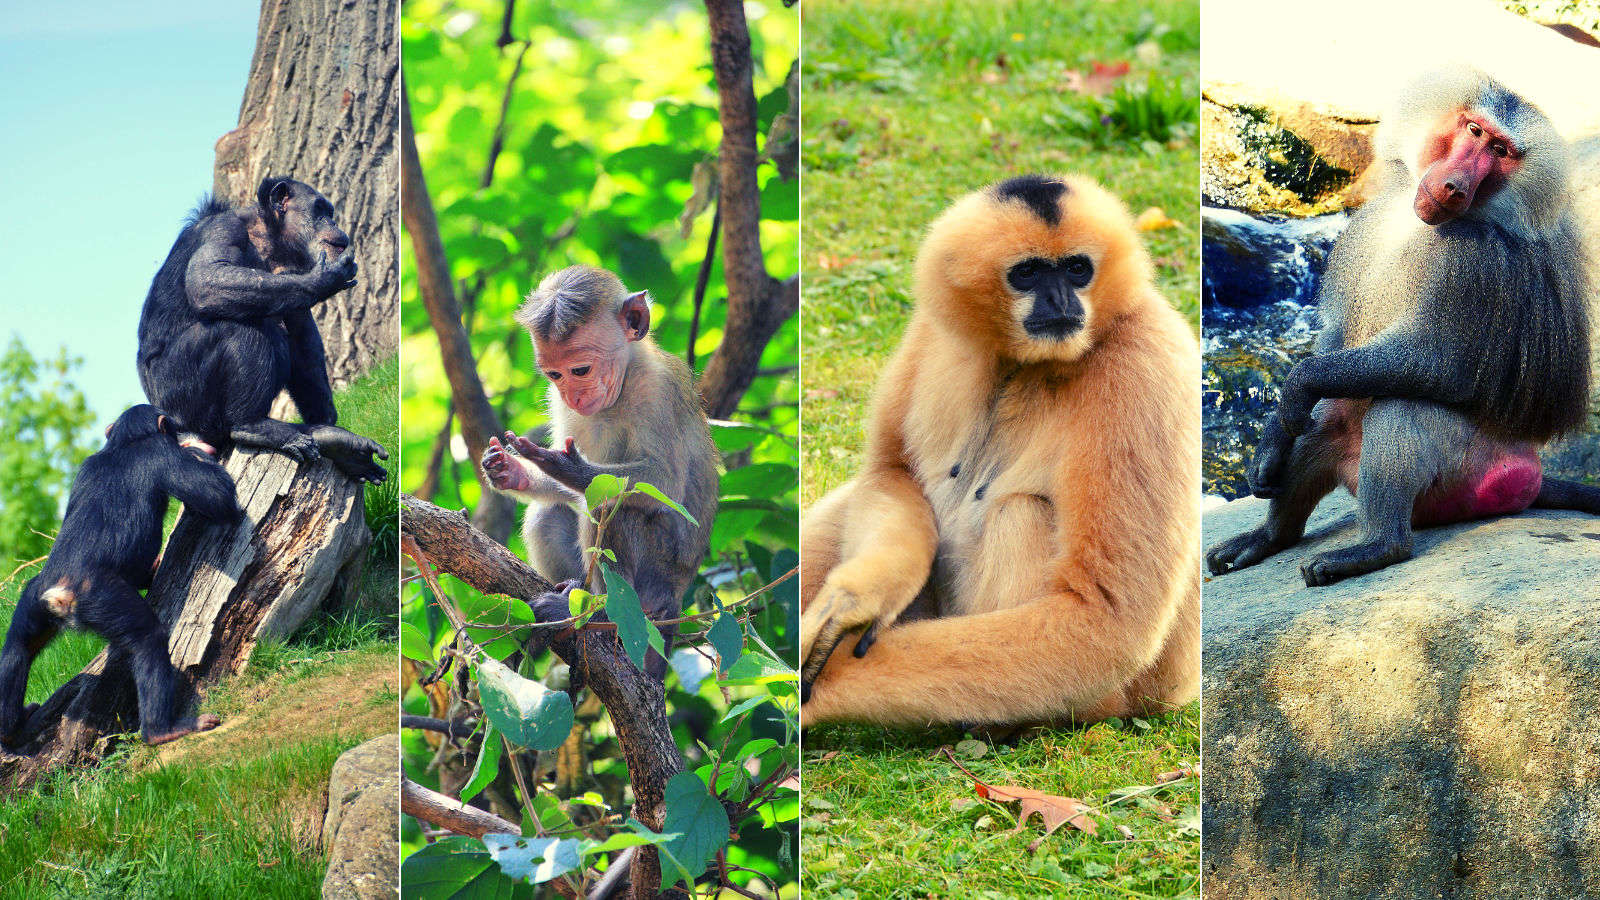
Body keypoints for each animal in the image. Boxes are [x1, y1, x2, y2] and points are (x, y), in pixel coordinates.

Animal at [0, 405, 243, 749]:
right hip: (103, 597)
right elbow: (217, 498)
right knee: (148, 638)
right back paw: (162, 729)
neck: (123, 444)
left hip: (32, 600)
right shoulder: (162, 453)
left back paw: (11, 729)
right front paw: (197, 449)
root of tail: (57, 594)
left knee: (18, 650)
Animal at [136, 176, 388, 484]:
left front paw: (327, 424)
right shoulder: (223, 228)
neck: (267, 237)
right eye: (320, 209)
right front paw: (326, 277)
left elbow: (302, 335)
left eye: (329, 212)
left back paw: (329, 441)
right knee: (241, 326)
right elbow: (207, 279)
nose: (335, 223)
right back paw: (253, 425)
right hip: (179, 395)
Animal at [480, 265, 719, 679]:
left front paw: (565, 465)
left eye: (581, 369)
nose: (573, 395)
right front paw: (509, 470)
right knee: (549, 513)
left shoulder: (656, 390)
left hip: (659, 572)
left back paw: (599, 615)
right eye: (555, 375)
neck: (623, 383)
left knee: (614, 508)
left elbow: (663, 481)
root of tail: (674, 598)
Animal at [799, 175, 1201, 728]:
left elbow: (1105, 618)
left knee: (1021, 511)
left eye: (1077, 268)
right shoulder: (929, 329)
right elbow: (890, 471)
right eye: (1027, 273)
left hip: (1118, 698)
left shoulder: (1148, 363)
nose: (1061, 301)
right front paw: (860, 596)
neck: (1024, 366)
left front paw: (819, 692)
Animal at [1207, 65, 1600, 587]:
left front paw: (1296, 387)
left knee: (1400, 403)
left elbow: (1440, 366)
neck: (1415, 224)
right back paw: (1267, 538)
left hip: (1471, 466)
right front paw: (1271, 437)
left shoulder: (1472, 265)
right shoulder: (1365, 228)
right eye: (1475, 131)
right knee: (1322, 420)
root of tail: (1531, 471)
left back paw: (1374, 547)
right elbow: (1332, 342)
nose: (1454, 186)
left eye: (1501, 152)